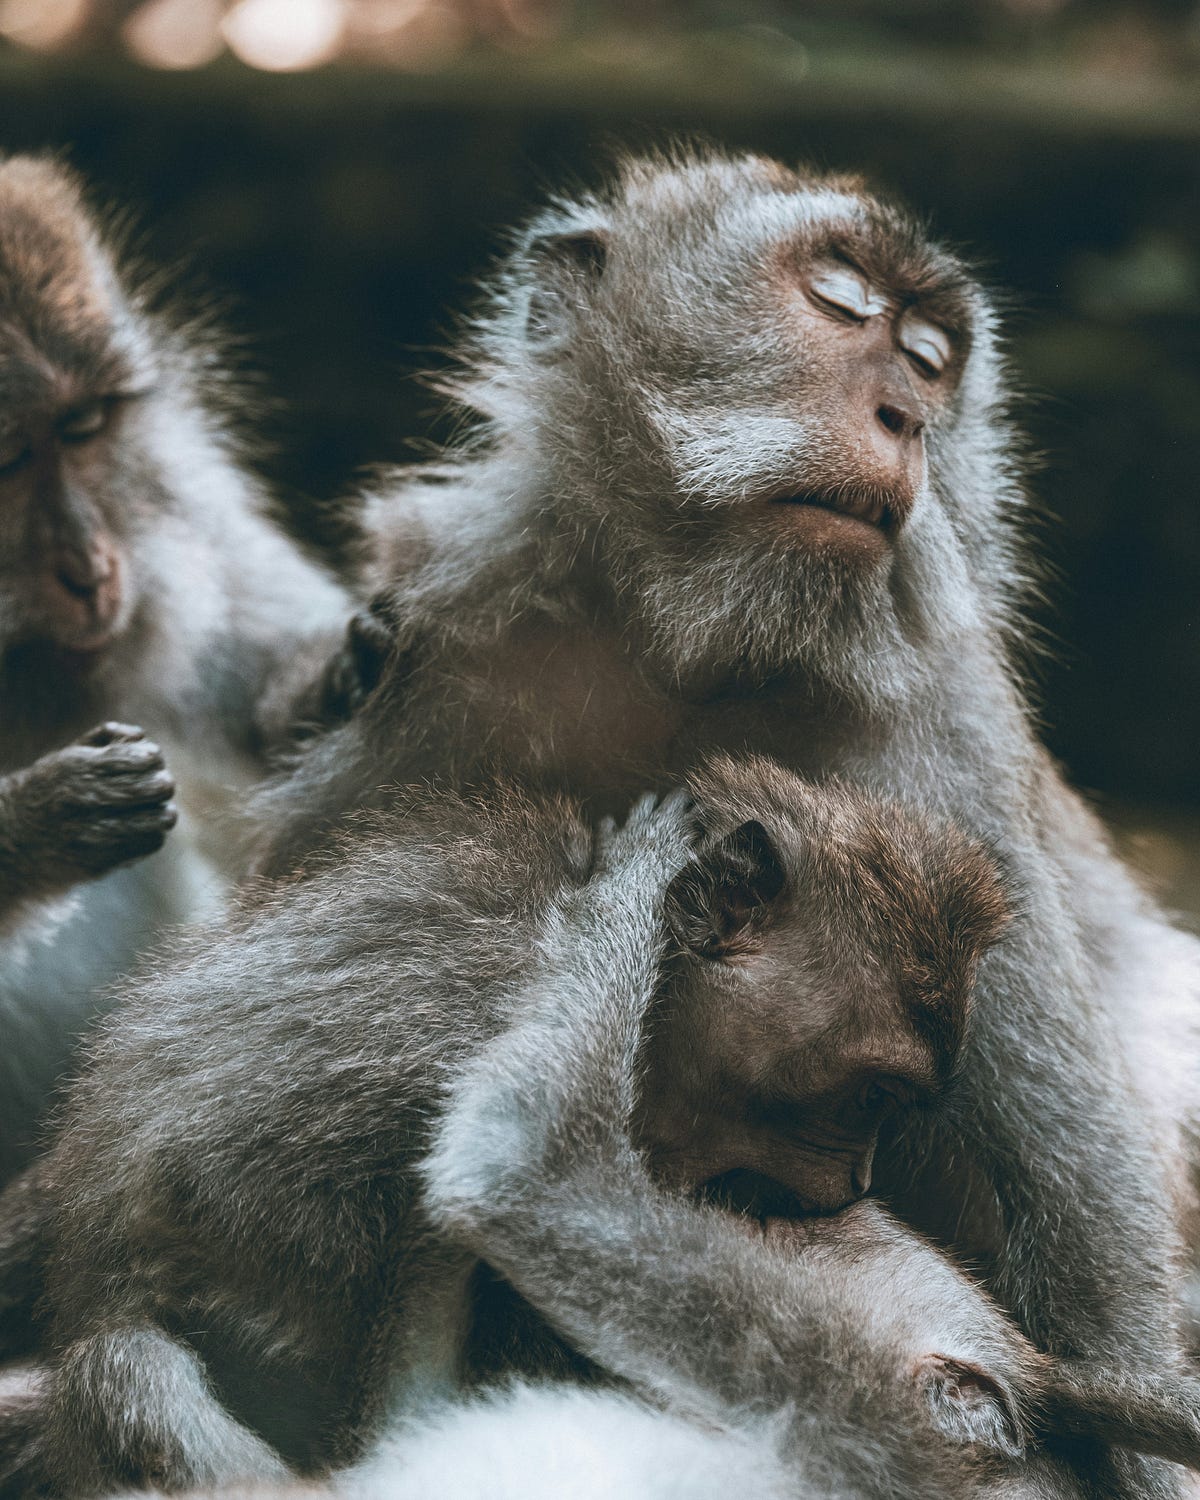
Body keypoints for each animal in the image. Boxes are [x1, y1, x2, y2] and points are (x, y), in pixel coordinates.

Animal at [242, 146, 1200, 1492]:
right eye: (842, 301)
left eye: (931, 357)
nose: (907, 418)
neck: (698, 644)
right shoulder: (436, 663)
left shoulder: (940, 731)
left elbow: (1081, 1223)